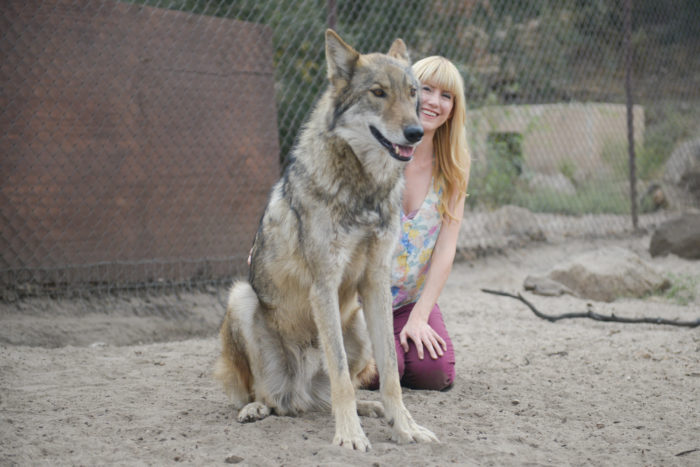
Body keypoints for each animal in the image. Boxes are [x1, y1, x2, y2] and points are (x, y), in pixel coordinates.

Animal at [214, 29, 438, 451]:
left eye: (413, 93)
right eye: (378, 93)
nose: (416, 133)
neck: (364, 189)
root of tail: (298, 390)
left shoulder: (375, 282)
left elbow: (390, 376)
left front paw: (405, 427)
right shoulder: (324, 284)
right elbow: (341, 377)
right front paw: (349, 436)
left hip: (359, 328)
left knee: (326, 394)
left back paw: (370, 410)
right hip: (241, 297)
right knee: (268, 395)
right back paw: (256, 408)